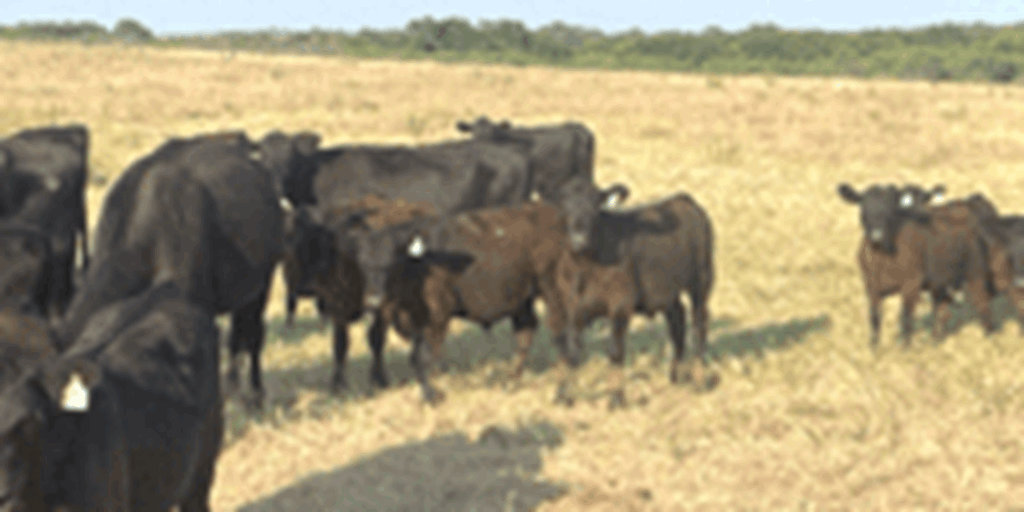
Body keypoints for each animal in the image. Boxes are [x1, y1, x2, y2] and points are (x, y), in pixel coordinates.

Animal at [314, 202, 574, 405]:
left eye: (392, 263)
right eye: (361, 263)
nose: (374, 300)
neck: (420, 264)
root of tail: (552, 212)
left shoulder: (438, 315)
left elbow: (426, 357)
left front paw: (432, 395)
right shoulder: (415, 319)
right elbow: (415, 357)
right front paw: (430, 393)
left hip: (552, 287)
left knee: (560, 335)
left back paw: (562, 393)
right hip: (521, 297)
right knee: (525, 333)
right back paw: (511, 381)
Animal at [546, 191, 716, 410]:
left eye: (594, 206)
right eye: (566, 206)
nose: (579, 239)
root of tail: (685, 200)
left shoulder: (620, 306)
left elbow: (615, 352)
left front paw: (616, 397)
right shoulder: (571, 309)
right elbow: (569, 352)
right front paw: (563, 396)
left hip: (700, 281)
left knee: (699, 324)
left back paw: (699, 379)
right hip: (668, 293)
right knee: (677, 320)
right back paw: (674, 375)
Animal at [837, 183, 999, 348]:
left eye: (891, 209)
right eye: (864, 207)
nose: (877, 234)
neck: (882, 255)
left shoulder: (912, 283)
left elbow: (905, 317)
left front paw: (904, 348)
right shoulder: (871, 286)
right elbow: (874, 318)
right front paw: (874, 348)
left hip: (975, 271)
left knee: (982, 303)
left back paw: (989, 337)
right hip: (939, 280)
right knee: (943, 309)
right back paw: (935, 341)